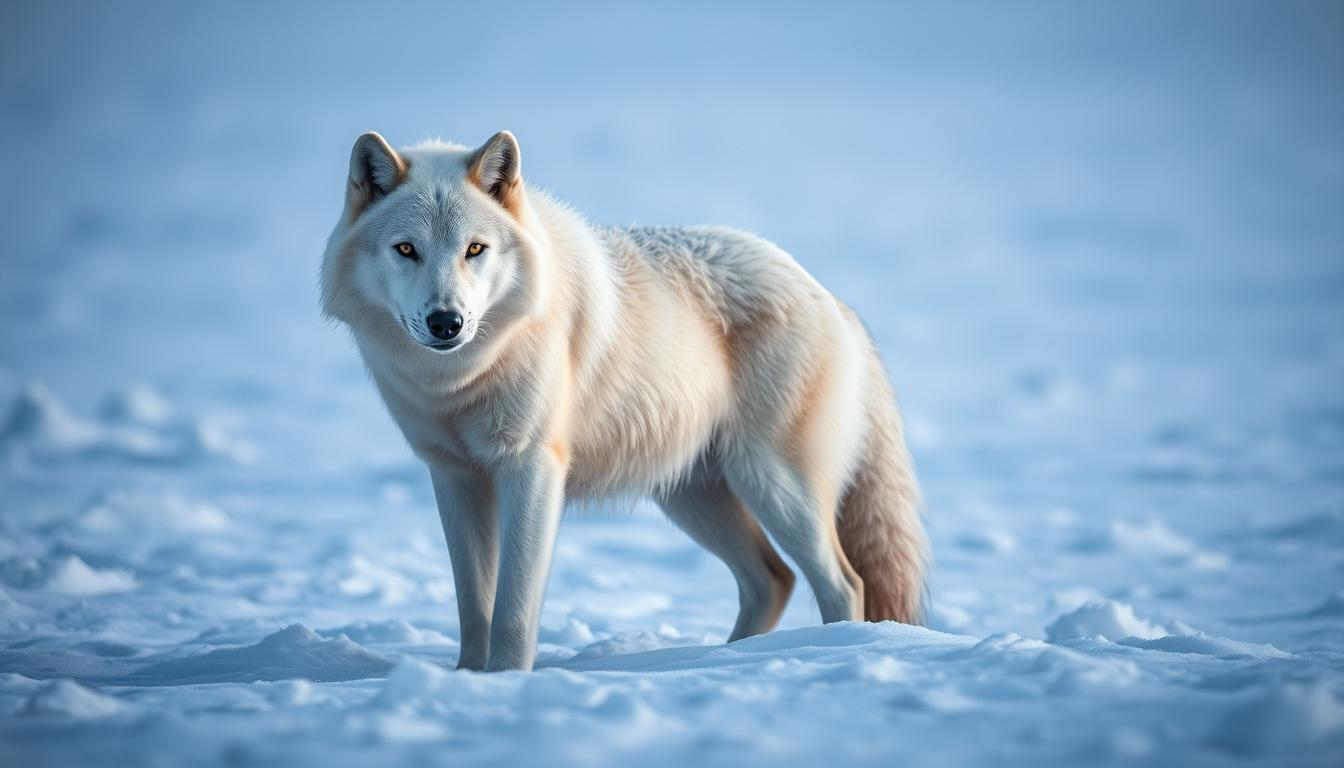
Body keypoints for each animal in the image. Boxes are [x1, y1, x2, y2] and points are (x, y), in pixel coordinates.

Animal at [320, 131, 928, 671]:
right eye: (406, 250)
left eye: (475, 249)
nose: (447, 321)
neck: (462, 381)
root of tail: (830, 296)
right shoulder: (454, 477)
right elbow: (474, 609)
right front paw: (468, 681)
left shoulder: (532, 469)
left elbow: (512, 612)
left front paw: (507, 684)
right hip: (695, 498)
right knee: (773, 580)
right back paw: (721, 660)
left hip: (774, 486)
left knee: (844, 583)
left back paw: (824, 652)